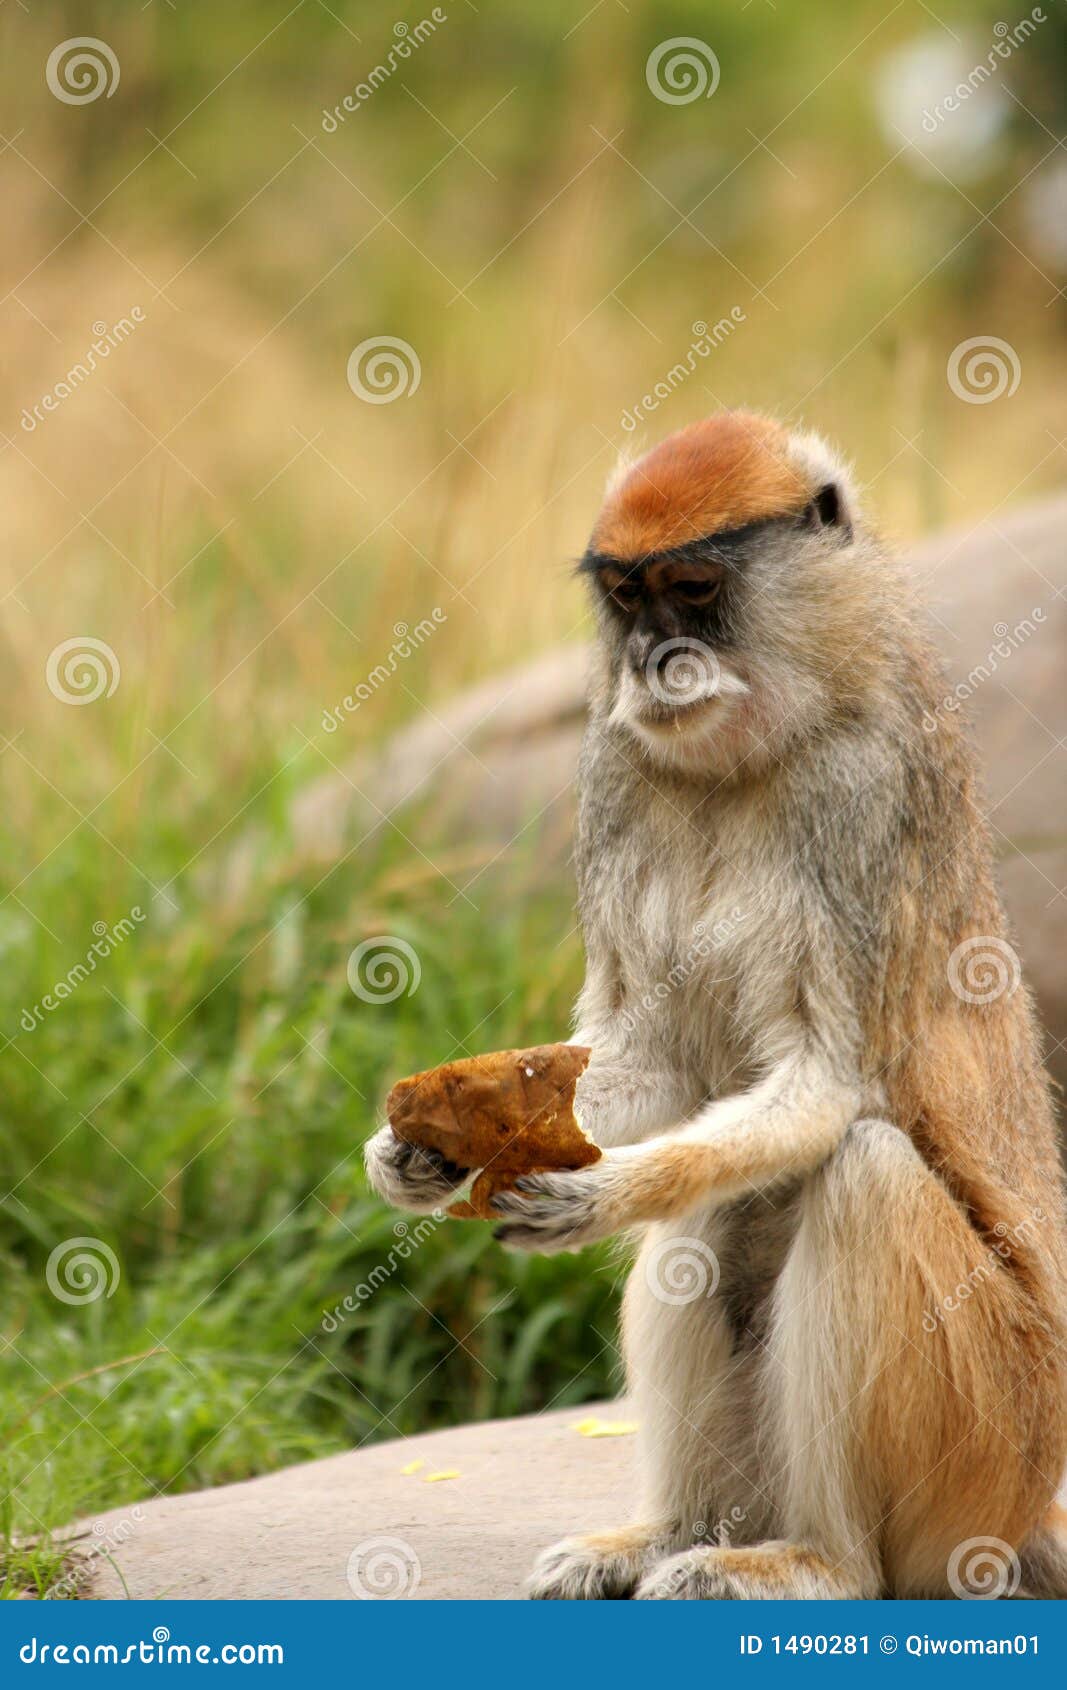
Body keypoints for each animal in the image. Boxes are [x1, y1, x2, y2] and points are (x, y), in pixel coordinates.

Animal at [365, 410, 1067, 1600]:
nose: (656, 663)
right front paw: (413, 1154)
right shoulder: (614, 769)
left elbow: (823, 1091)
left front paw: (597, 1196)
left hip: (986, 1443)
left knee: (862, 1176)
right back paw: (668, 1535)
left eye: (692, 590)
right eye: (627, 598)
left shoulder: (858, 796)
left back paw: (816, 1561)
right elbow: (646, 1062)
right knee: (710, 1221)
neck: (758, 749)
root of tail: (1027, 1510)